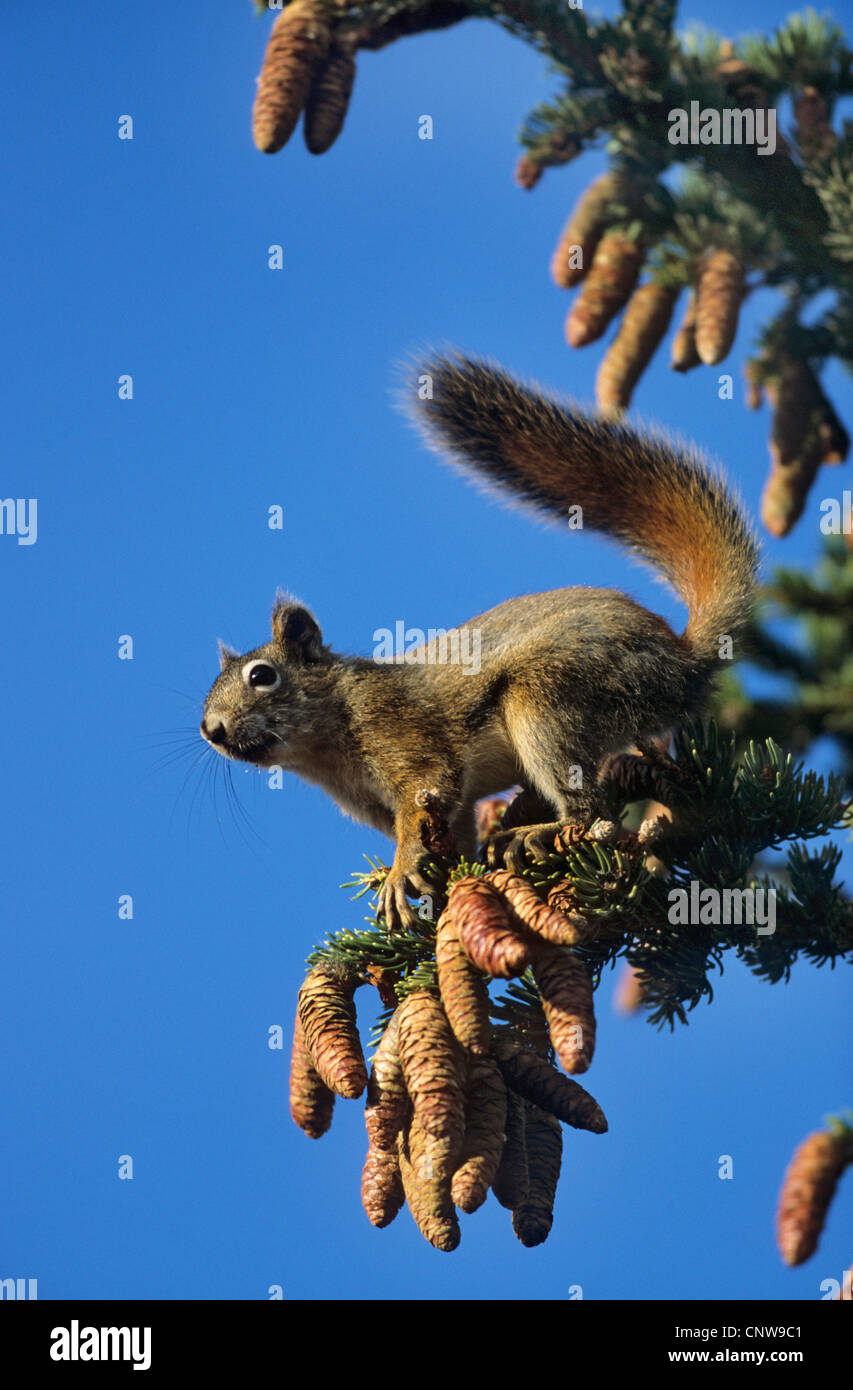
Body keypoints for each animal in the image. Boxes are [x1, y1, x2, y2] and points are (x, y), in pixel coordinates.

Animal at [201, 353, 759, 929]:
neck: (328, 739)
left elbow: (428, 792)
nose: (210, 730)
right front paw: (445, 887)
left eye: (262, 675)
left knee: (591, 812)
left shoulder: (398, 731)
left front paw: (399, 874)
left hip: (550, 695)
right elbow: (453, 832)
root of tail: (682, 661)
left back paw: (538, 832)